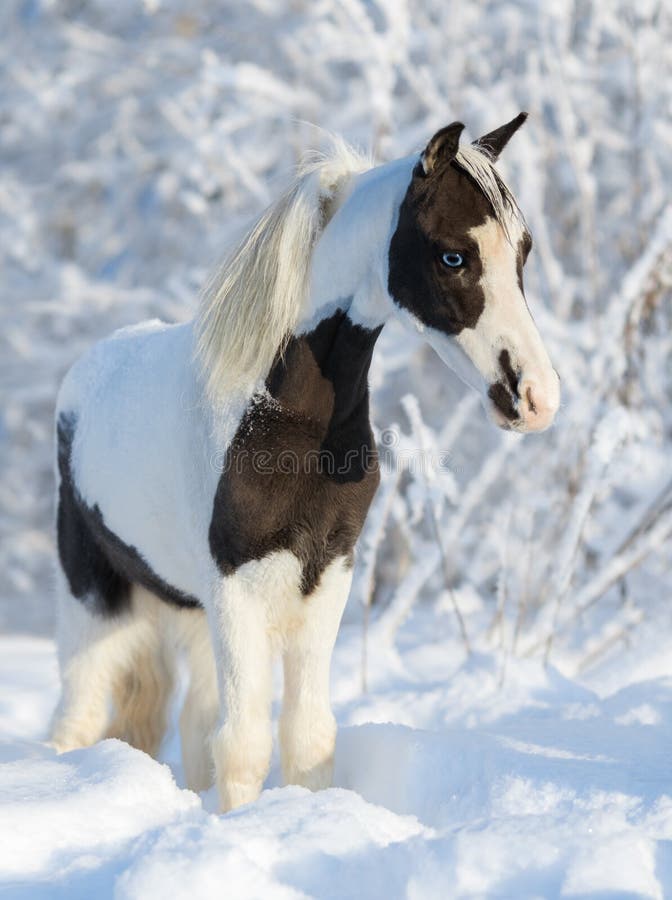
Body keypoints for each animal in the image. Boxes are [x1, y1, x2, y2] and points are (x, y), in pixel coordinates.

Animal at [50, 114, 560, 812]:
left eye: (524, 252)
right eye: (453, 254)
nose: (535, 398)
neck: (282, 420)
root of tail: (83, 379)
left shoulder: (328, 575)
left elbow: (307, 737)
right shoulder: (236, 588)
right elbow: (244, 745)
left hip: (187, 611)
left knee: (191, 725)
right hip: (94, 603)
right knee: (75, 718)